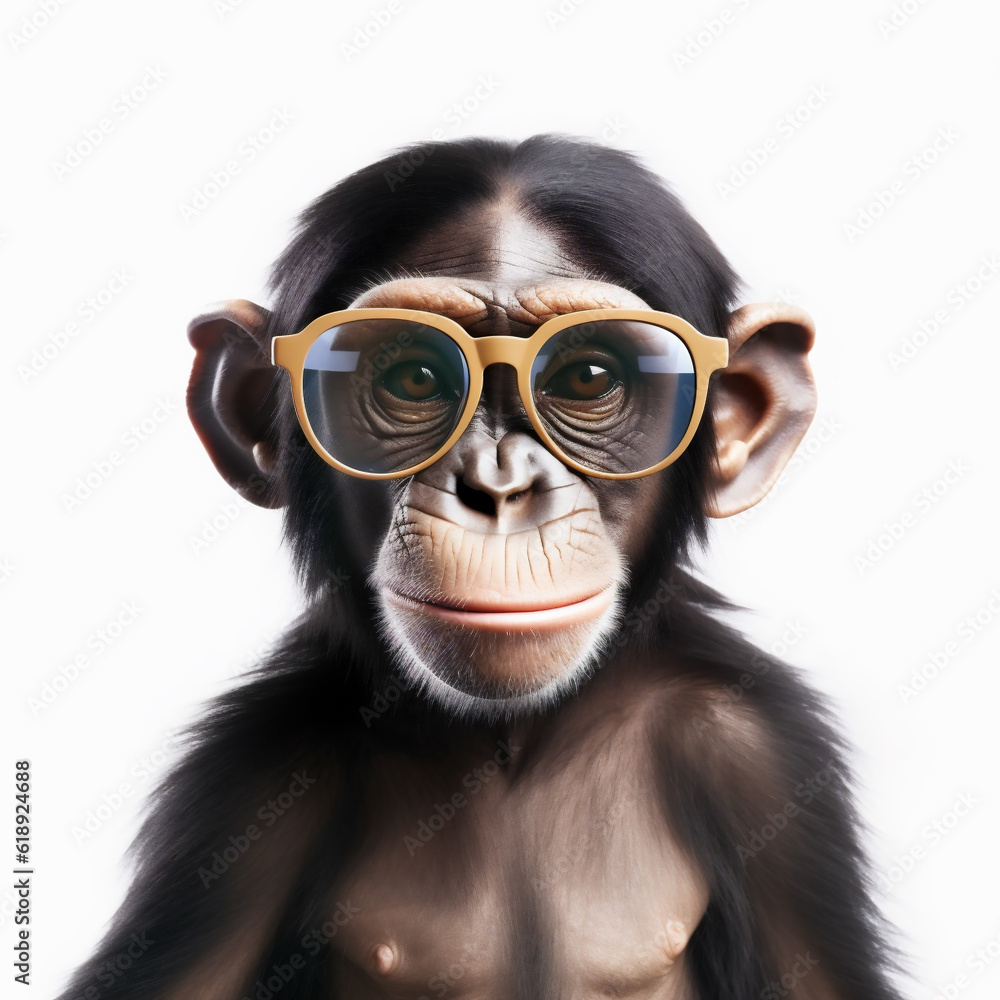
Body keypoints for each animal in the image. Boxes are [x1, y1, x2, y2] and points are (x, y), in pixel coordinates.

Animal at [57, 134, 901, 1000]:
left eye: (588, 377)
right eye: (416, 378)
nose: (498, 487)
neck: (514, 743)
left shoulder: (767, 754)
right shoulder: (236, 791)